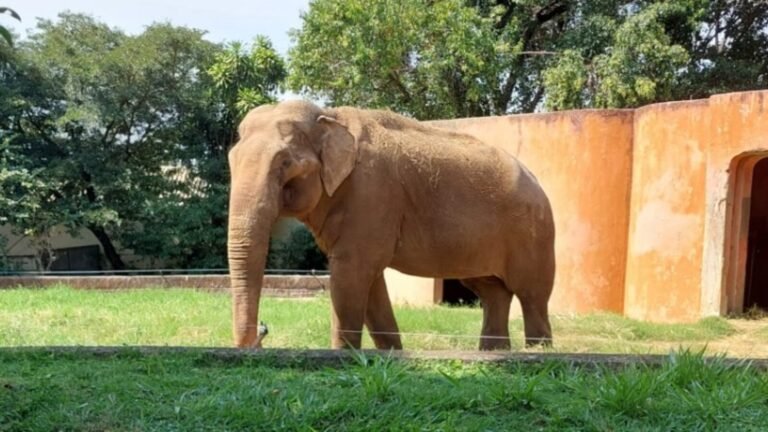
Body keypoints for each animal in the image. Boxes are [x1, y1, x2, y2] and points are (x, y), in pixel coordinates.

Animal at [227, 100, 555, 351]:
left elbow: (351, 274)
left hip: (534, 233)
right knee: (491, 292)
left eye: (285, 164)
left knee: (532, 296)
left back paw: (538, 352)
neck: (331, 116)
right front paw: (392, 354)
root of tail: (537, 181)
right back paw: (494, 352)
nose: (259, 338)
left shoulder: (372, 193)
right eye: (231, 160)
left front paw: (343, 356)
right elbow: (369, 282)